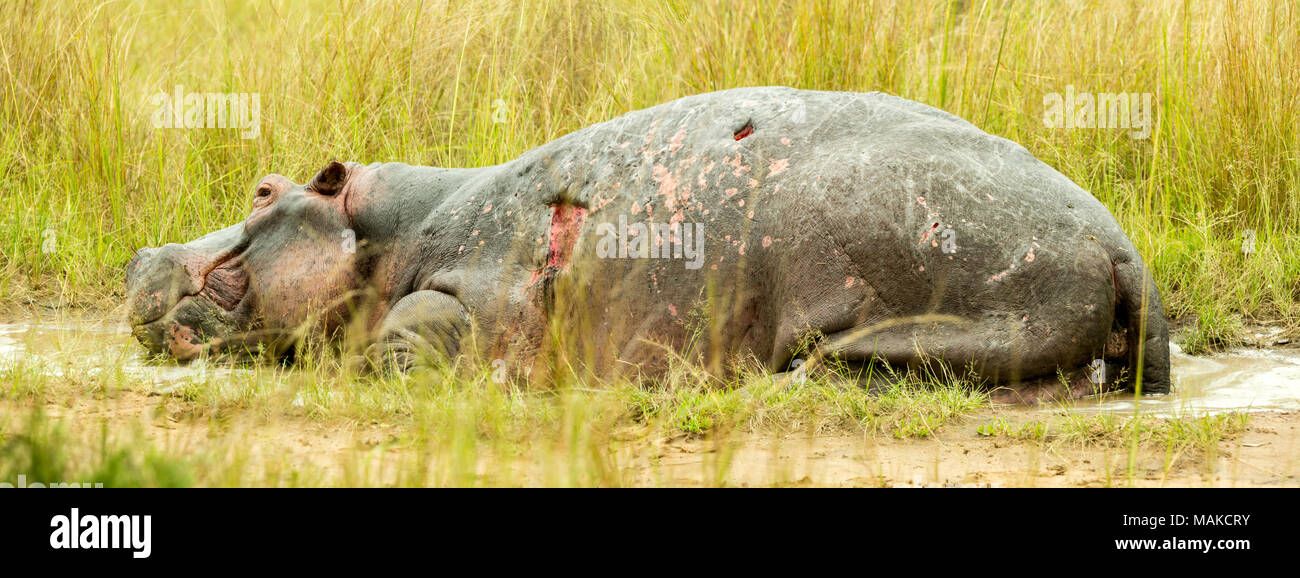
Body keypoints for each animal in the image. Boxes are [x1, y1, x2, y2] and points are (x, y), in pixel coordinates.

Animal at [125, 87, 1170, 402]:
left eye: (264, 189)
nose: (140, 256)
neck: (390, 230)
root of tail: (1122, 246)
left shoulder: (475, 288)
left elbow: (412, 329)